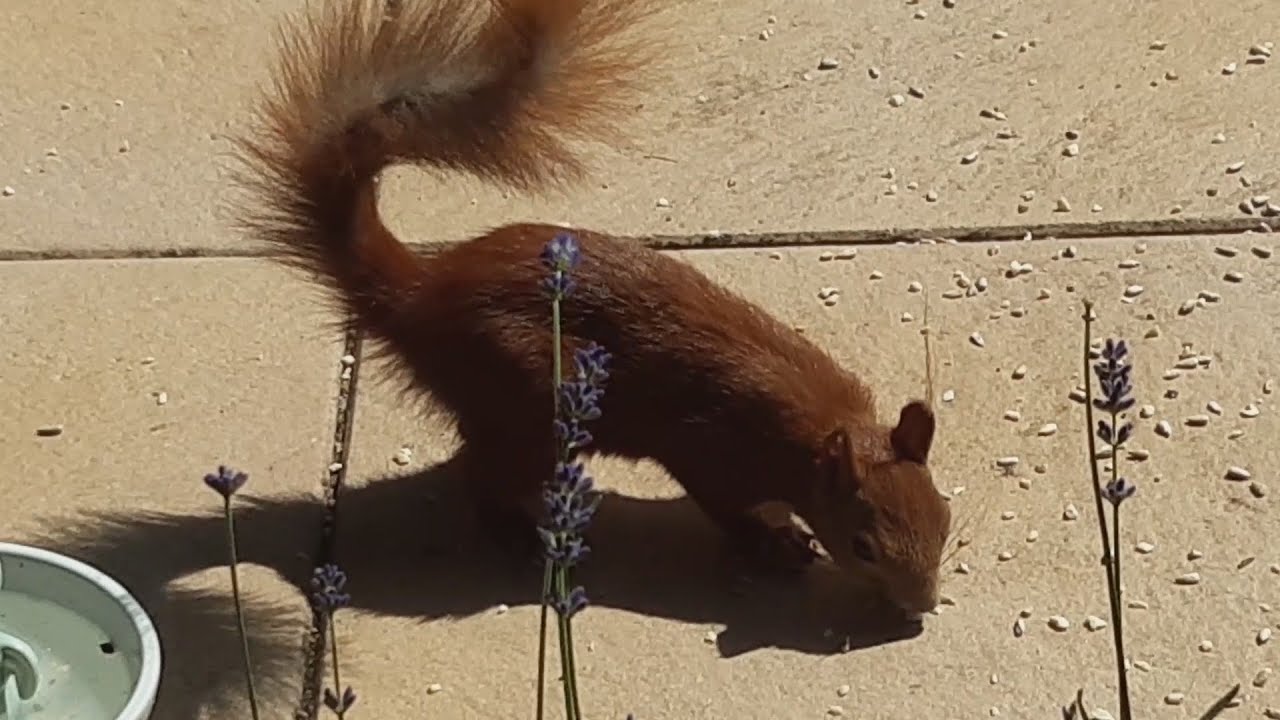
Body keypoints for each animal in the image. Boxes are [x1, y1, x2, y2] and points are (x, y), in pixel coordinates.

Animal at [231, 0, 952, 617]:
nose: (920, 609)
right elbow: (722, 504)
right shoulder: (709, 449)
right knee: (478, 474)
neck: (817, 429)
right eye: (862, 545)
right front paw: (771, 544)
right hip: (531, 400)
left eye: (944, 516)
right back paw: (519, 534)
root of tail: (420, 296)